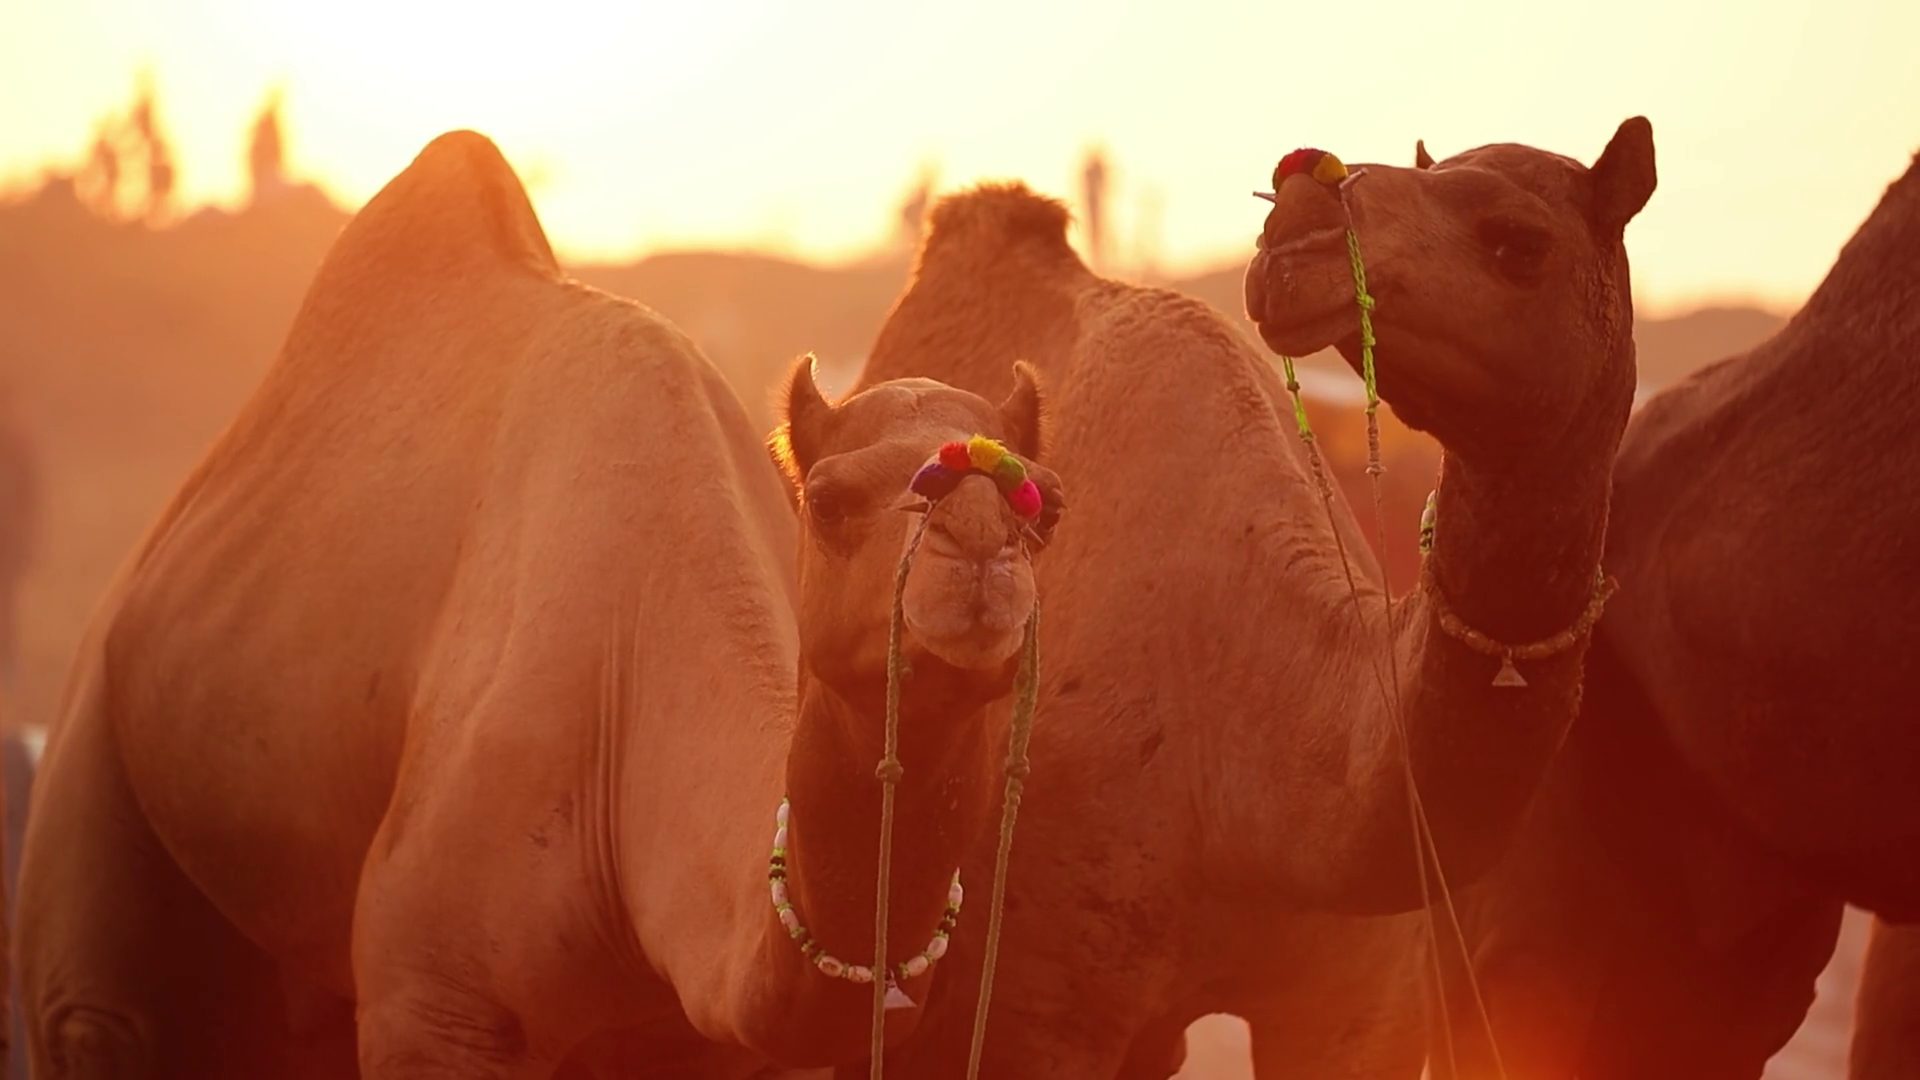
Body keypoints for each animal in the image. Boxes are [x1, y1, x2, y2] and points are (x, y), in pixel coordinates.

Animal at [12, 129, 1067, 1079]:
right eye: (834, 500)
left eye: (1045, 508)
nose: (975, 552)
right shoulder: (430, 1008)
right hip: (92, 751)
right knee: (97, 1021)